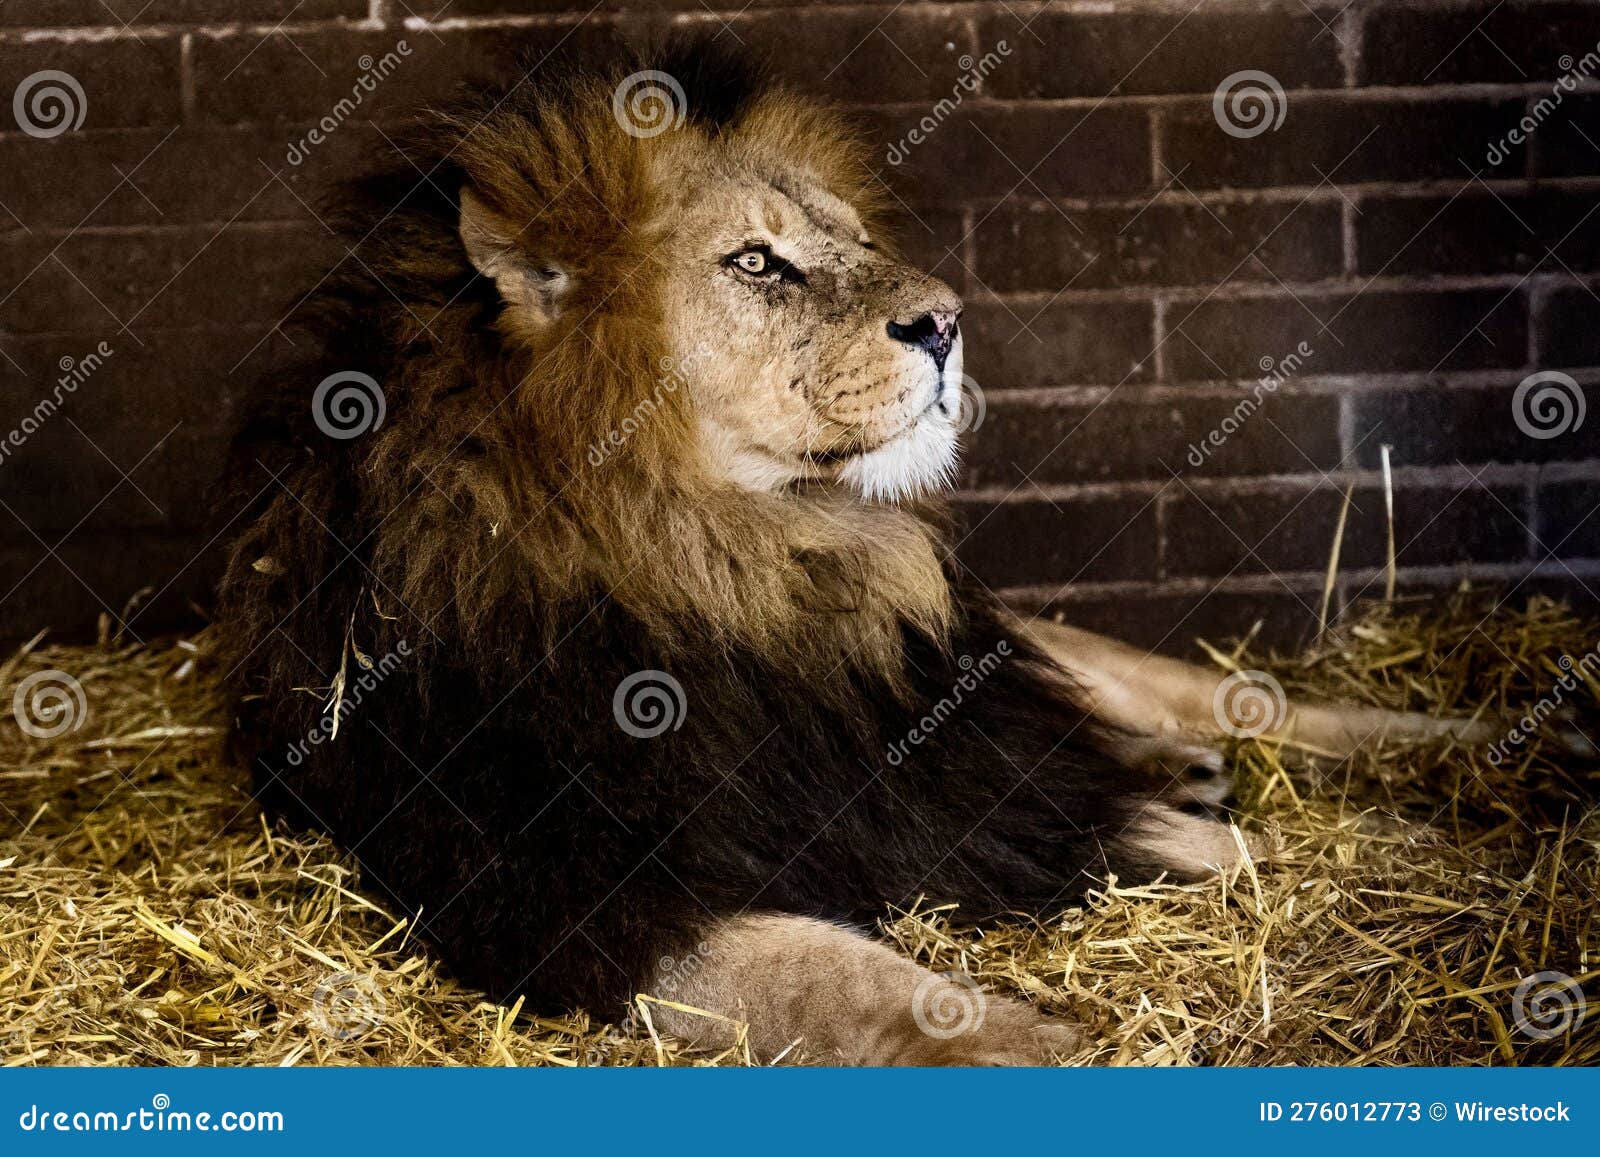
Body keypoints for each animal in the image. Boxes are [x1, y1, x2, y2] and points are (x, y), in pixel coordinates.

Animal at [218, 41, 1498, 1065]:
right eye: (754, 262)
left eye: (856, 239)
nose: (947, 322)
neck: (729, 562)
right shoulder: (568, 888)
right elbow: (823, 966)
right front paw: (1025, 1040)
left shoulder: (961, 785)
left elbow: (1251, 850)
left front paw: (1429, 857)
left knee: (1225, 695)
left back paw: (1467, 747)